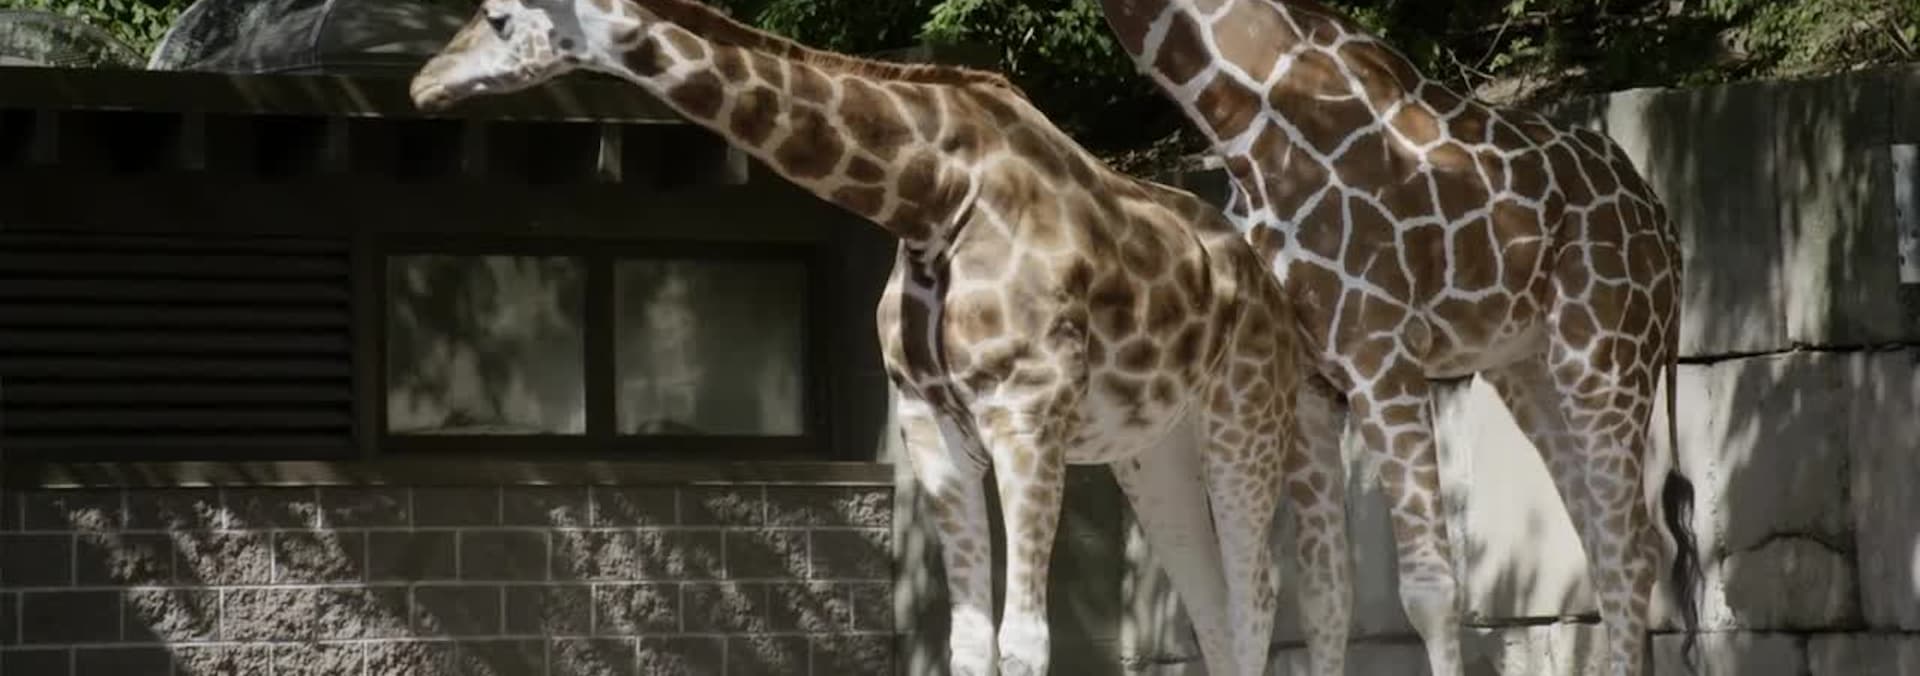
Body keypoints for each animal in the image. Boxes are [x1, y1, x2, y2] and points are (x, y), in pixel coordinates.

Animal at [409, 1, 1339, 673]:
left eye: (497, 16)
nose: (422, 84)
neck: (931, 198)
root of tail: (1273, 292)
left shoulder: (1027, 413)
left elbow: (1026, 638)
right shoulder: (933, 427)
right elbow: (967, 641)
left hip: (1244, 421)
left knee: (1265, 593)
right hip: (1153, 449)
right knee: (1214, 601)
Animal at [1092, 1, 1704, 674]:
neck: (1239, 118)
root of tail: (1667, 230)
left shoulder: (1378, 354)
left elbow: (1429, 590)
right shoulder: (1306, 377)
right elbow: (1325, 595)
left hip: (1606, 346)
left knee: (1630, 553)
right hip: (1531, 367)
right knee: (1605, 539)